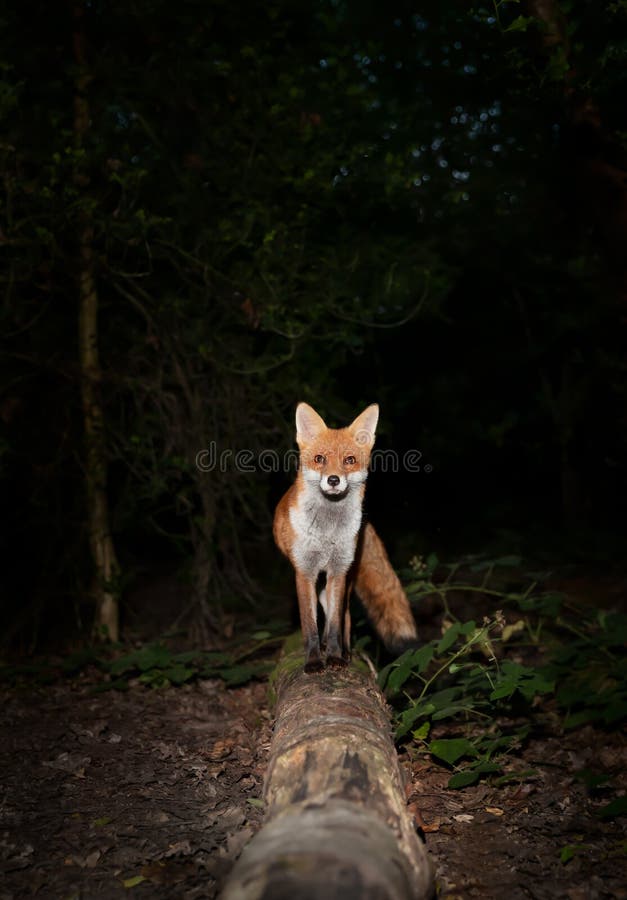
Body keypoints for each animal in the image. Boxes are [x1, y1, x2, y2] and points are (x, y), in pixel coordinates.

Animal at [273, 402, 419, 673]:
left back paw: (347, 651)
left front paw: (334, 657)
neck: (327, 532)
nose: (333, 480)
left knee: (346, 615)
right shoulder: (305, 572)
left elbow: (334, 625)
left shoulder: (338, 570)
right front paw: (313, 661)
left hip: (347, 578)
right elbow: (310, 626)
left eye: (349, 460)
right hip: (321, 584)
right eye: (319, 459)